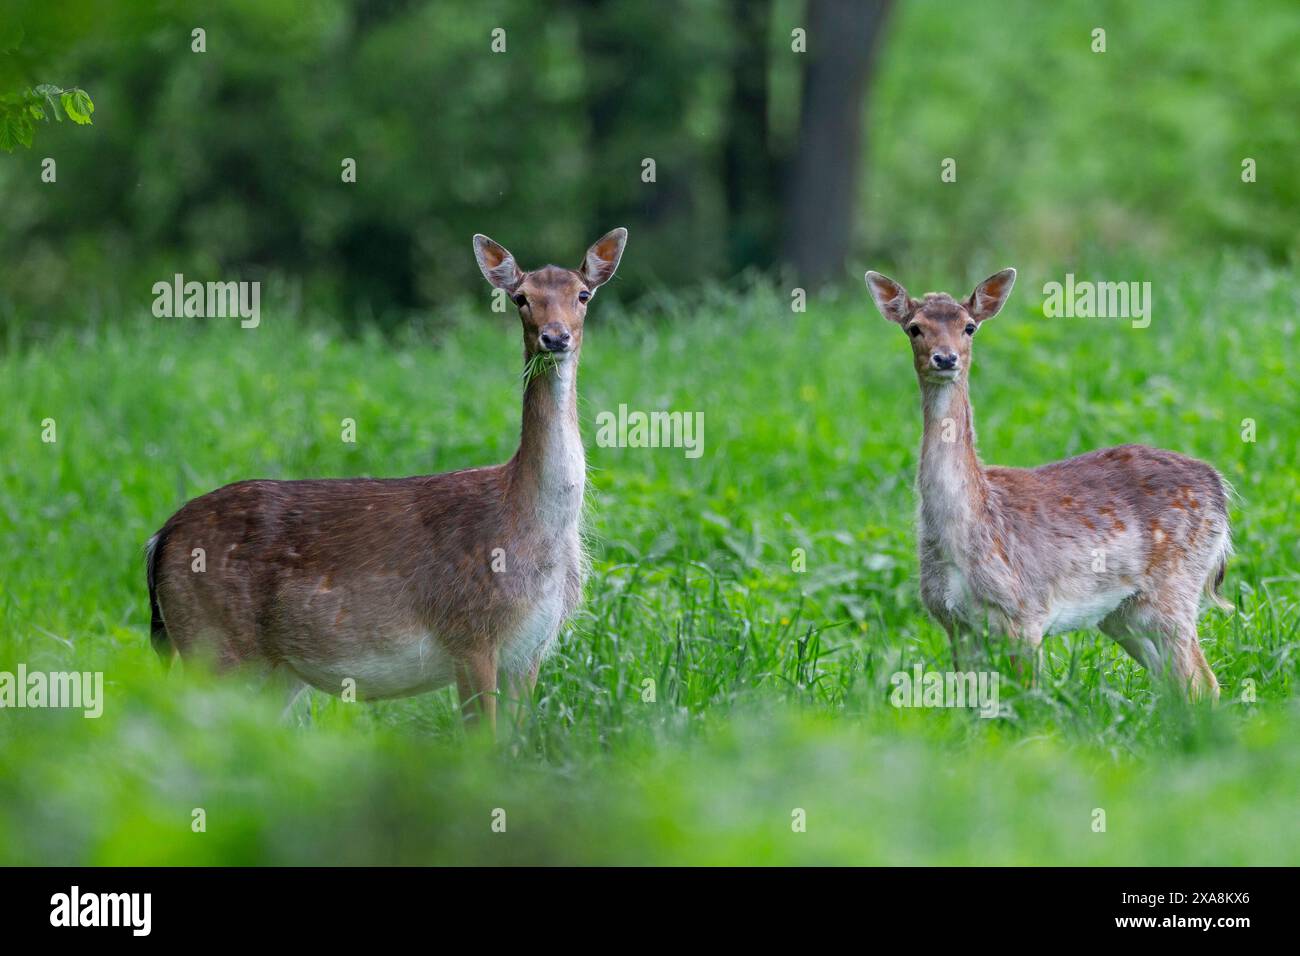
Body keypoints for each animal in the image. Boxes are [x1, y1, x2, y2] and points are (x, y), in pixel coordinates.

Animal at [145, 228, 628, 732]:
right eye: (520, 298)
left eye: (583, 294)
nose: (556, 337)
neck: (532, 528)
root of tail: (158, 539)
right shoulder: (470, 633)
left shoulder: (530, 648)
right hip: (211, 643)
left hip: (273, 669)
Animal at [864, 268, 1230, 699]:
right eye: (914, 328)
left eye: (969, 326)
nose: (945, 357)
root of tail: (1219, 486)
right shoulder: (953, 621)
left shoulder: (1024, 613)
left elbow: (1029, 698)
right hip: (1125, 613)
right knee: (1180, 684)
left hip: (1173, 590)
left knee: (1202, 682)